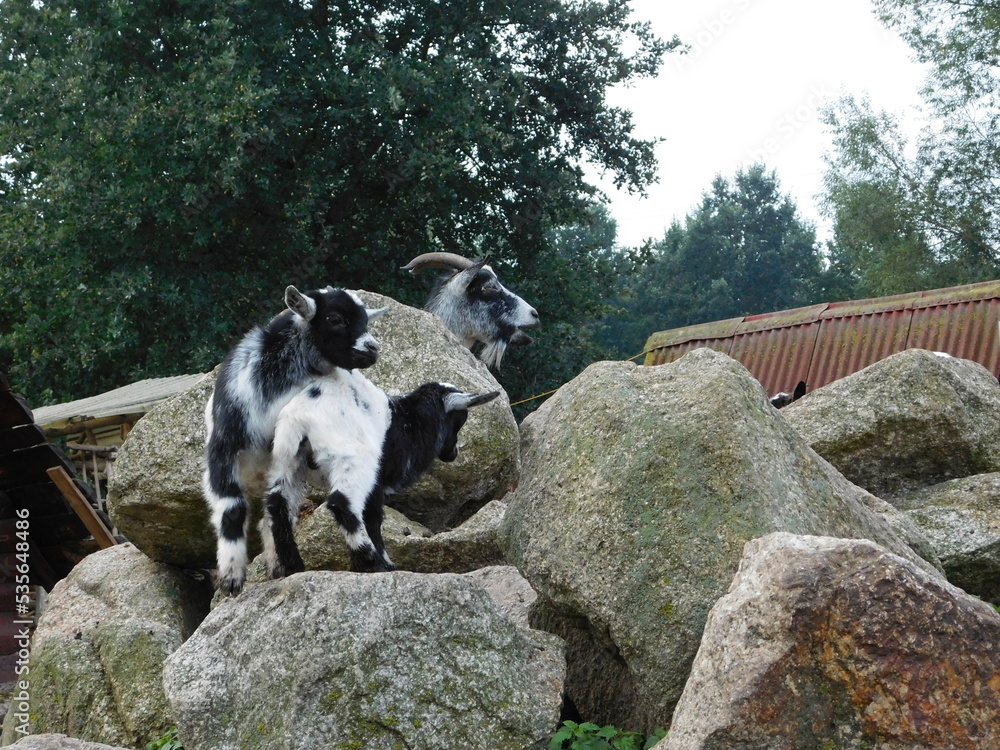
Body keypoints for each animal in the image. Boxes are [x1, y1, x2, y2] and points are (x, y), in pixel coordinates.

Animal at [203, 285, 385, 595]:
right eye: (334, 318)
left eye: (365, 319)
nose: (372, 349)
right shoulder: (222, 451)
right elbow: (232, 510)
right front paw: (231, 578)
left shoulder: (291, 456)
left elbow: (279, 506)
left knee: (275, 507)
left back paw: (279, 563)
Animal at [262, 374, 500, 576]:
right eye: (460, 419)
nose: (453, 453)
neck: (409, 420)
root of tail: (301, 417)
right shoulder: (376, 481)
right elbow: (373, 518)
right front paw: (384, 562)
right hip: (354, 461)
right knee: (342, 503)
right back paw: (369, 560)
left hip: (287, 462)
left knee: (277, 506)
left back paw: (288, 566)